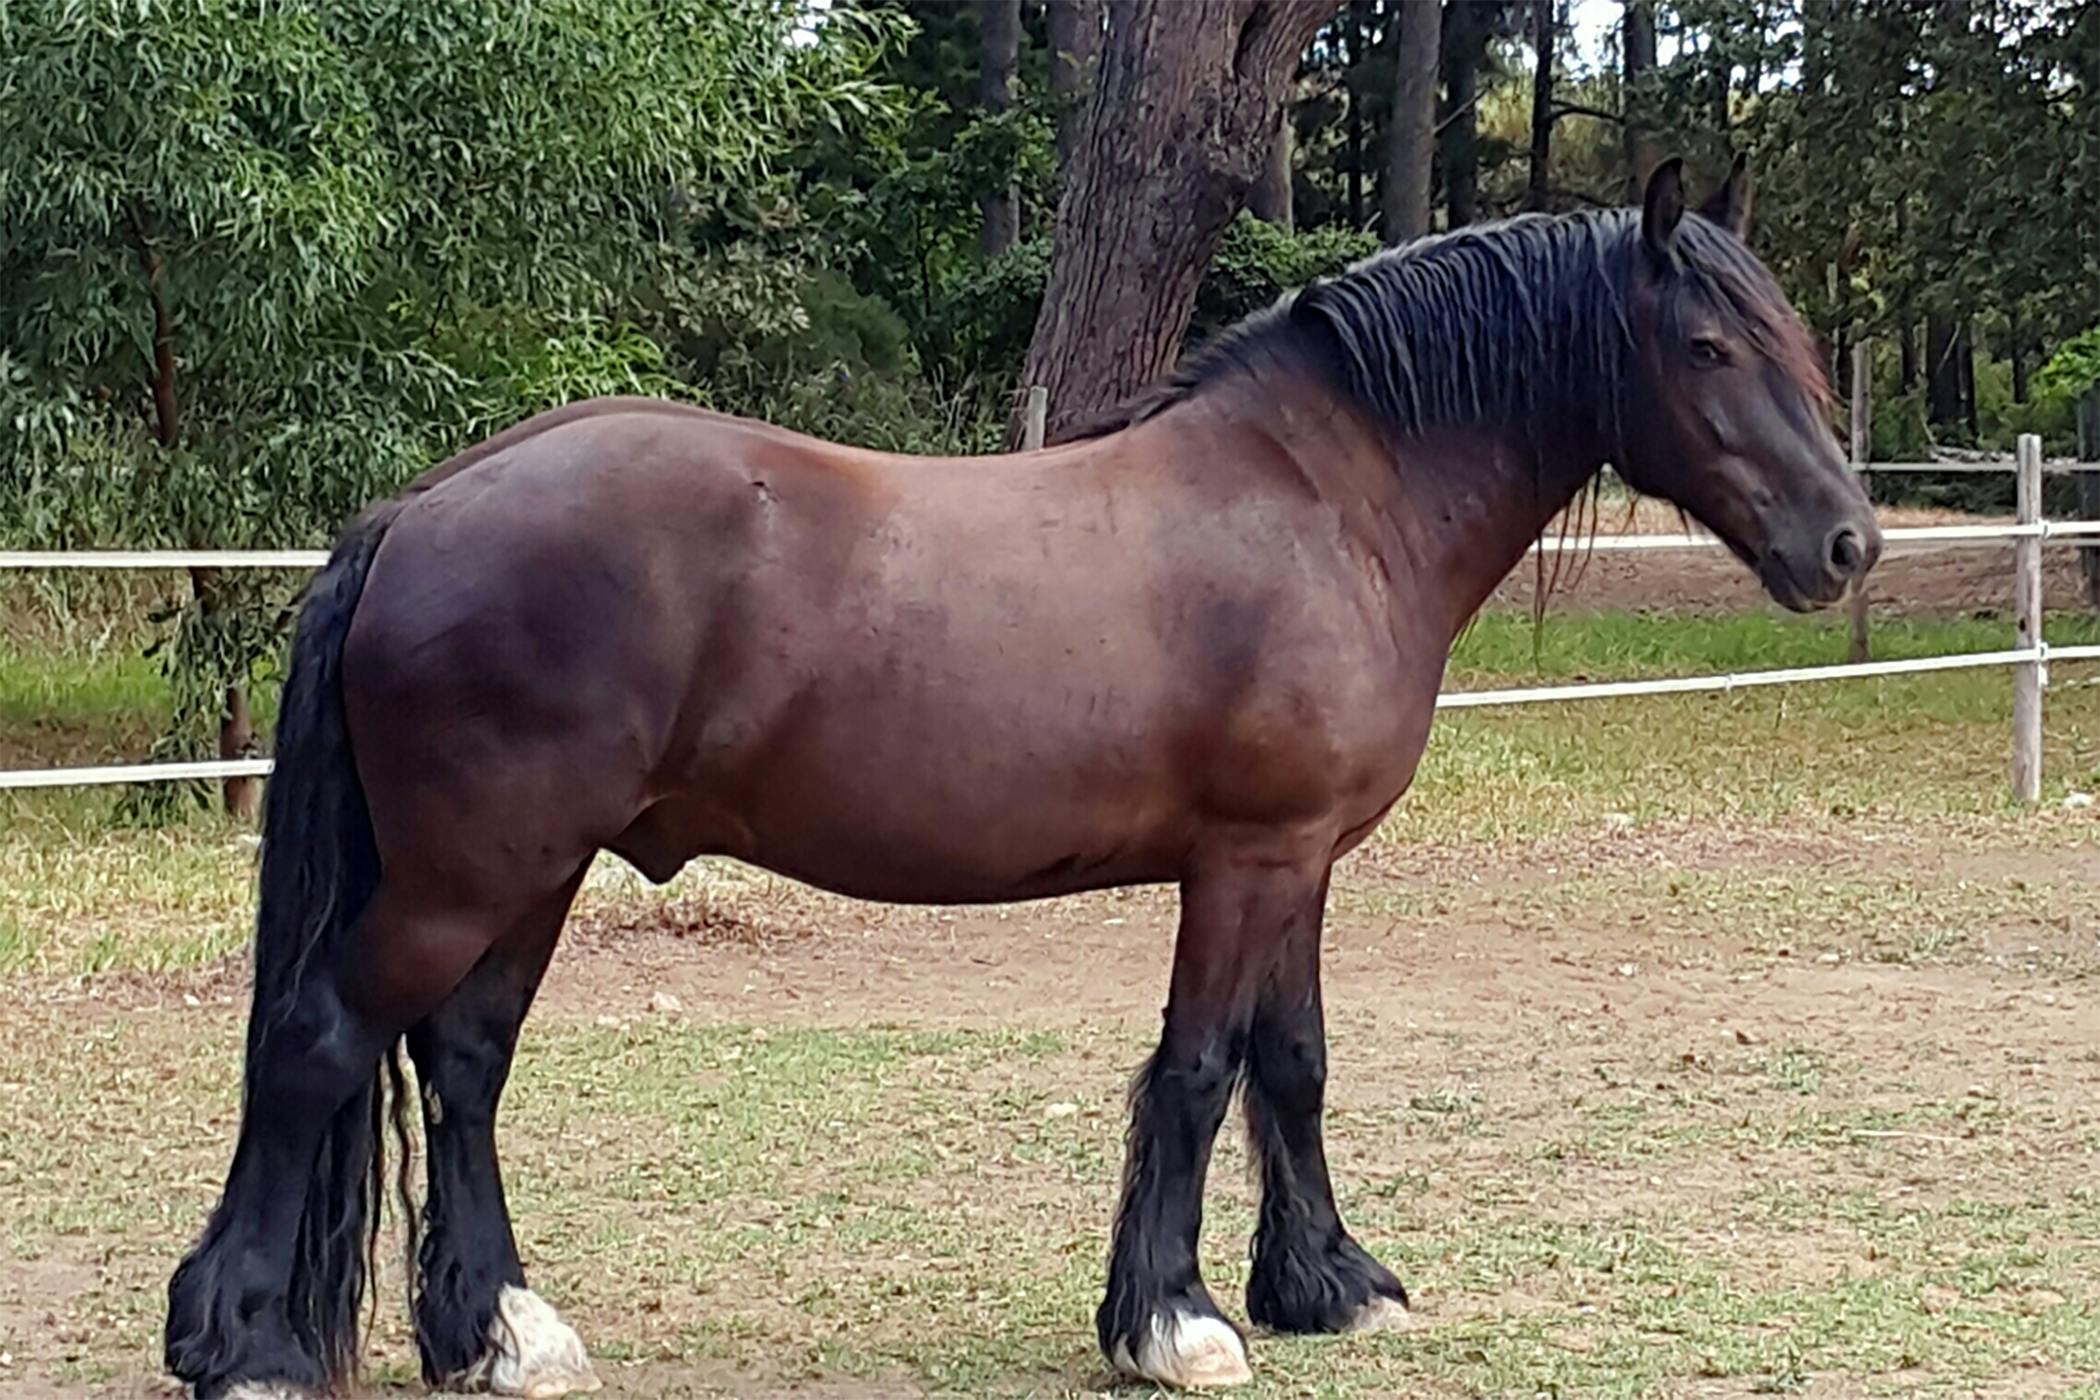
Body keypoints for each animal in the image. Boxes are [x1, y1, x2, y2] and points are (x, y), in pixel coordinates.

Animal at [165, 156, 1878, 1398]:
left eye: (1793, 342)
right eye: (1709, 346)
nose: (1847, 544)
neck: (1327, 501)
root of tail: (421, 509)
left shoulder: (1307, 861)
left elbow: (1295, 1063)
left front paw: (1329, 1286)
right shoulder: (1247, 860)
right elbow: (1199, 1070)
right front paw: (1176, 1323)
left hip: (531, 872)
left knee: (460, 1065)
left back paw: (499, 1336)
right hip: (474, 871)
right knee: (317, 1044)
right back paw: (243, 1344)